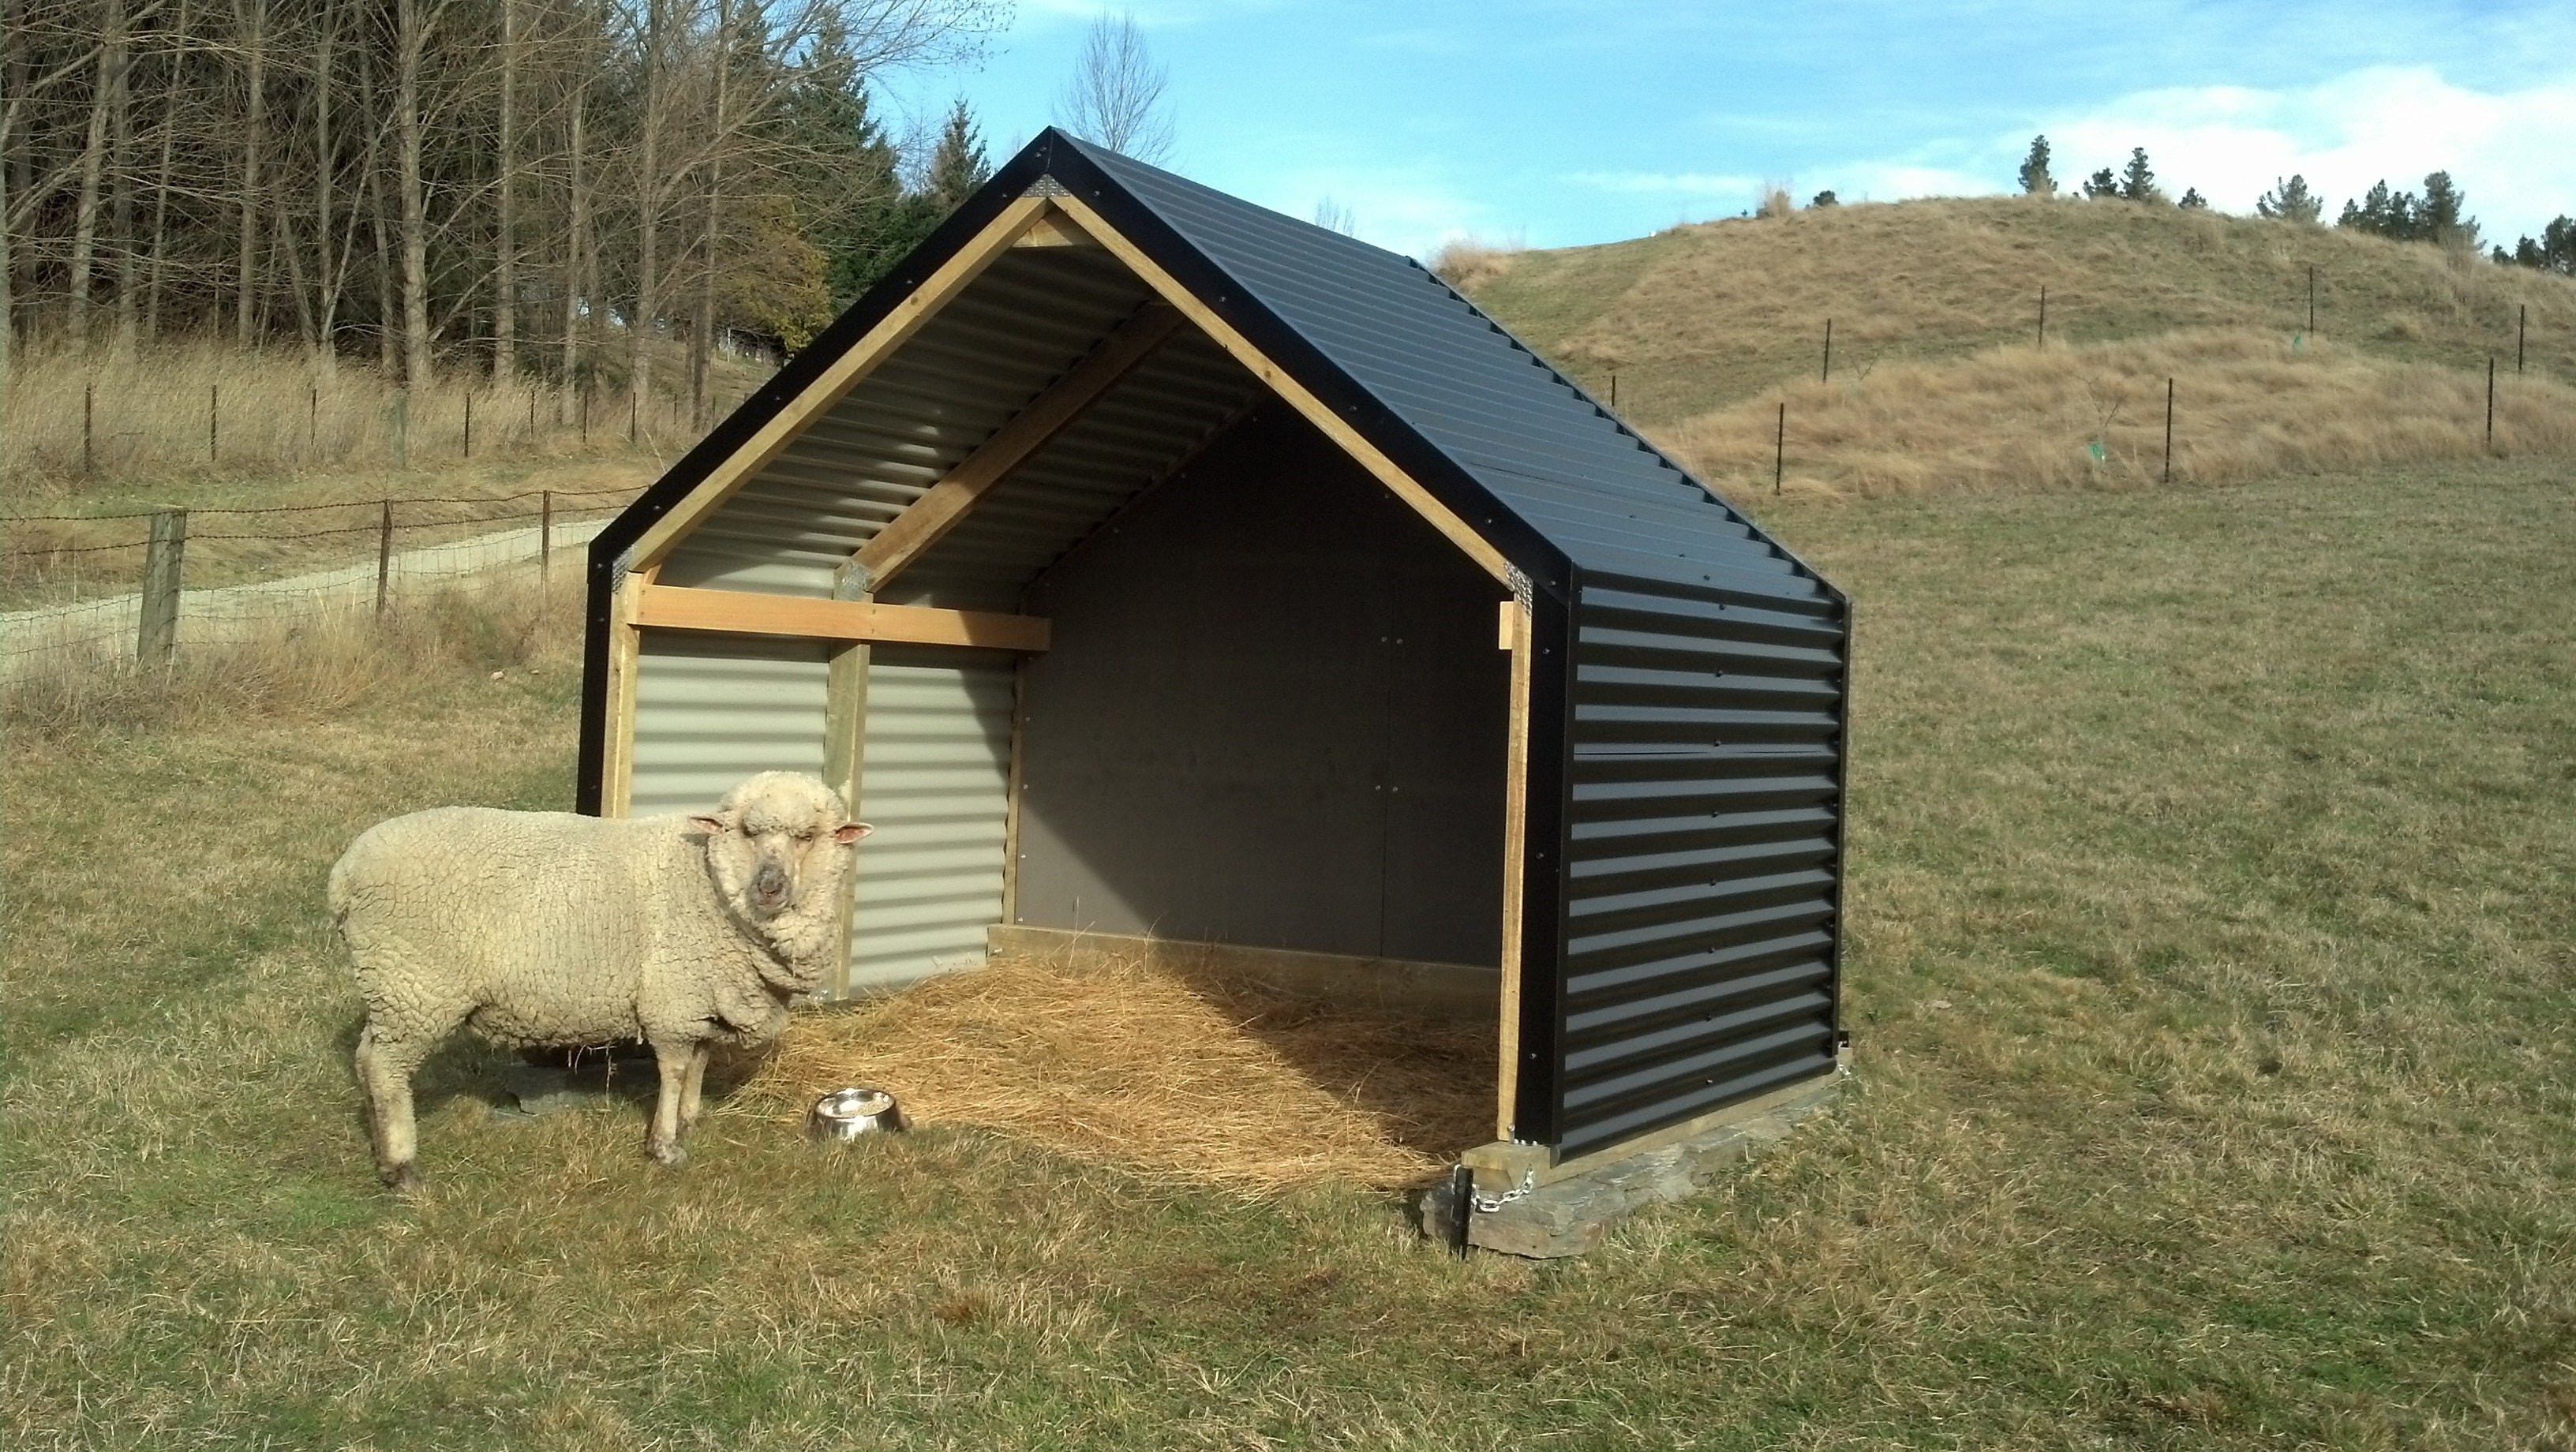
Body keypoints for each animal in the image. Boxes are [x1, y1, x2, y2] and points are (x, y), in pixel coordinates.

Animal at [330, 771, 870, 1189]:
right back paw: (403, 1167)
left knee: (365, 1060)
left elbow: (699, 1062)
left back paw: (381, 1151)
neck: (707, 880)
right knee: (386, 1070)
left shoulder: (700, 996)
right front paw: (664, 1146)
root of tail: (345, 873)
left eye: (807, 836)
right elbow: (676, 1070)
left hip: (391, 988)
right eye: (747, 832)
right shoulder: (672, 999)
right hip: (415, 985)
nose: (770, 886)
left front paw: (689, 1121)